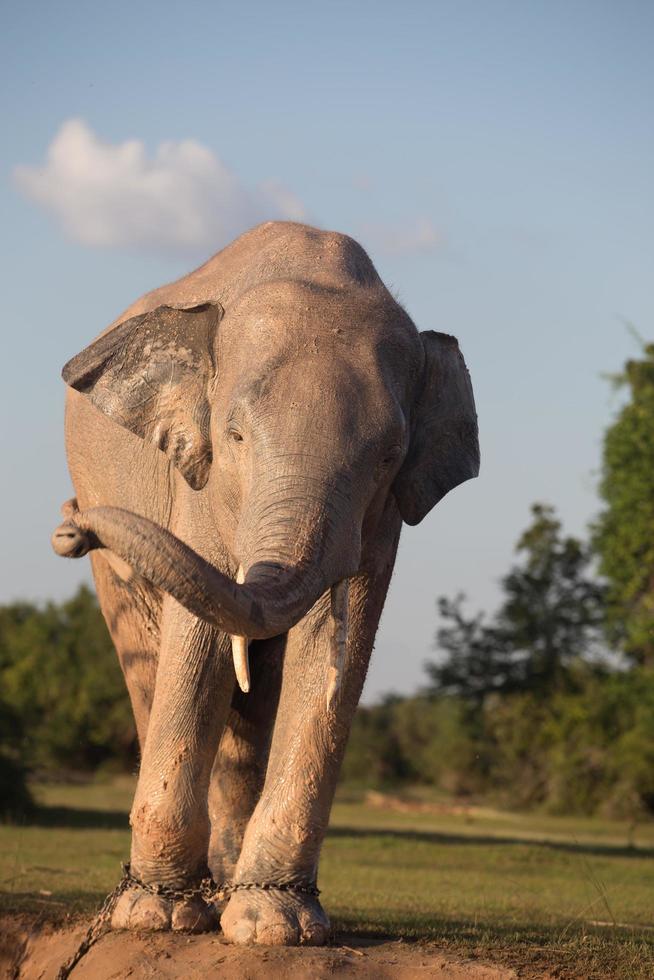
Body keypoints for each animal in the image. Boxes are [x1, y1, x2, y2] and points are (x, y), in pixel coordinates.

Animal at [52, 221, 479, 945]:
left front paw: (276, 926)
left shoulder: (383, 518)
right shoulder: (197, 481)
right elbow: (199, 646)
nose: (70, 530)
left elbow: (336, 645)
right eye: (235, 435)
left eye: (388, 457)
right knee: (149, 656)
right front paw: (157, 917)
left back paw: (226, 891)